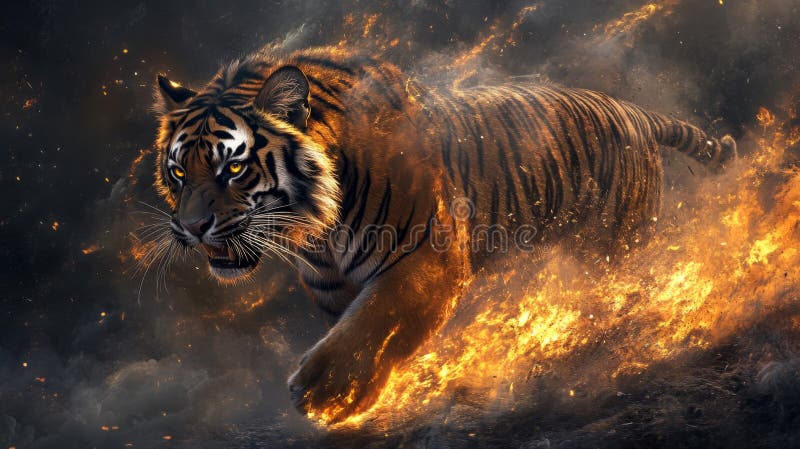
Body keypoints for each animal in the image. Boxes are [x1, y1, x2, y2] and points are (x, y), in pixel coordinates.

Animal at [151, 46, 736, 422]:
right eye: (179, 171)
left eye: (233, 167)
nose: (192, 229)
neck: (317, 235)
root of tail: (630, 108)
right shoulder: (335, 291)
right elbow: (362, 330)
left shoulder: (424, 257)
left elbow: (372, 325)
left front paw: (326, 392)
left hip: (614, 246)